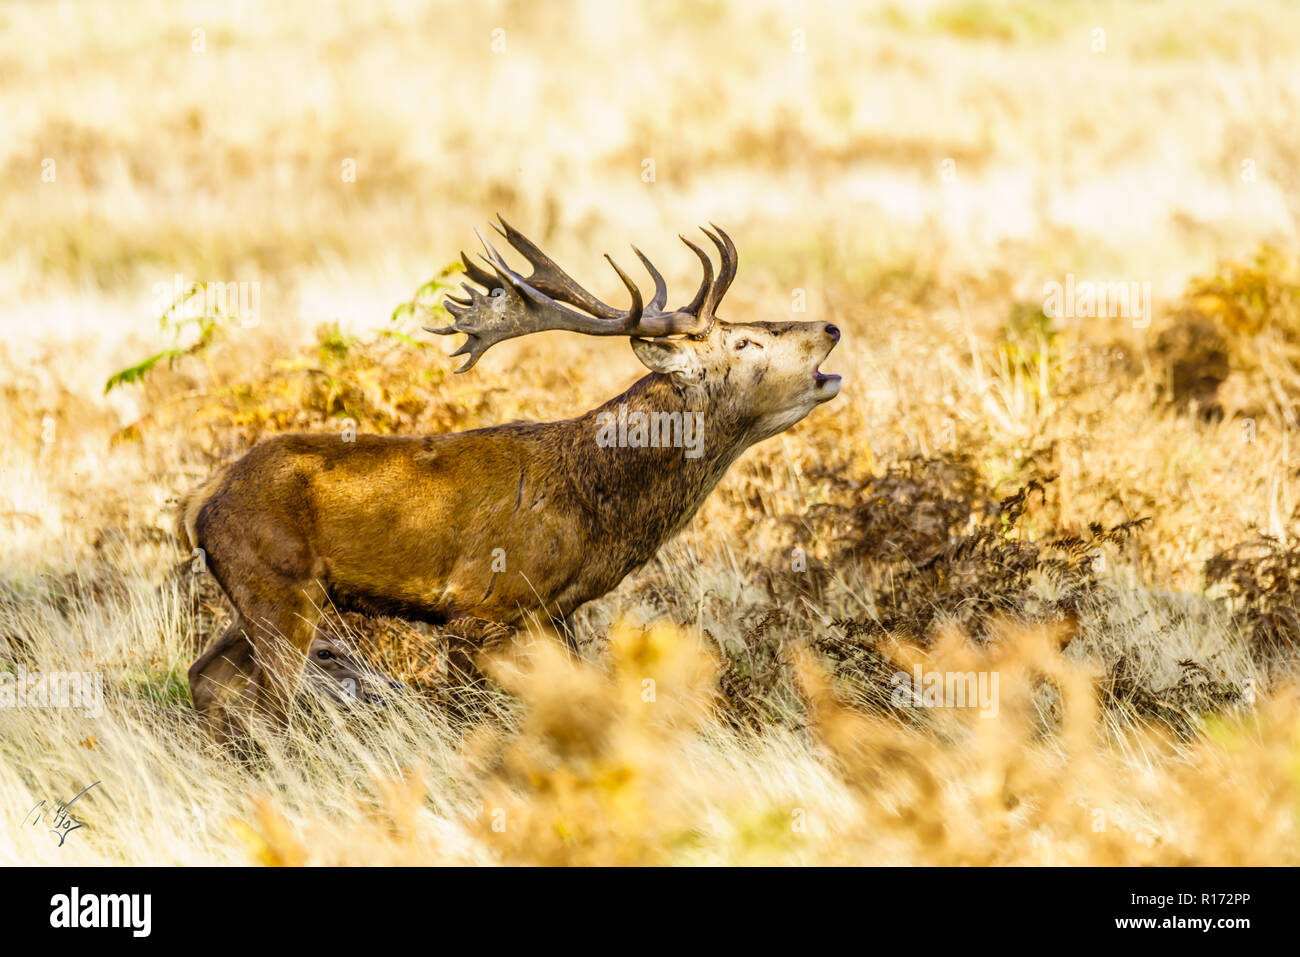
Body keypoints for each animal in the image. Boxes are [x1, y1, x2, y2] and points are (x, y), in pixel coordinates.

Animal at [182, 218, 841, 745]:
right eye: (745, 341)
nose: (831, 328)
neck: (595, 508)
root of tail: (201, 501)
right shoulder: (477, 604)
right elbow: (464, 712)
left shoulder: (555, 612)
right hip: (278, 586)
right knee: (270, 701)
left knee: (207, 673)